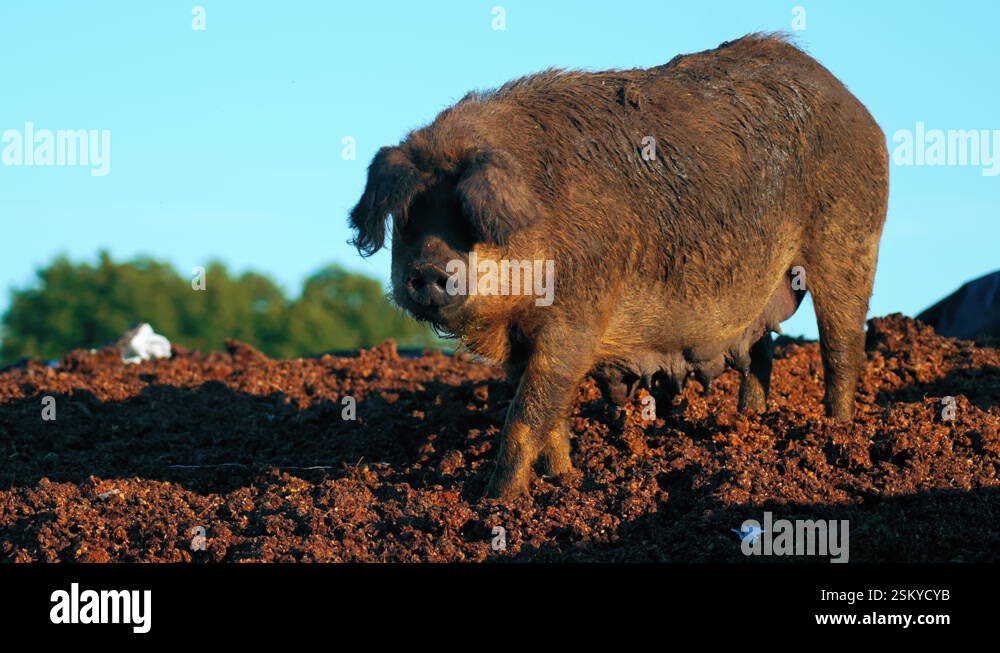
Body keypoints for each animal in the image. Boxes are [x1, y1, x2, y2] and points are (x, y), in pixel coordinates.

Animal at [348, 33, 889, 499]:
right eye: (407, 215)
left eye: (467, 213)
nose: (427, 270)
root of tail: (853, 104)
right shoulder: (522, 344)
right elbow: (551, 417)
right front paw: (563, 481)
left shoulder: (578, 317)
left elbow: (525, 418)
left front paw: (496, 503)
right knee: (761, 353)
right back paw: (749, 424)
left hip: (850, 242)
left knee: (842, 349)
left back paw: (838, 432)